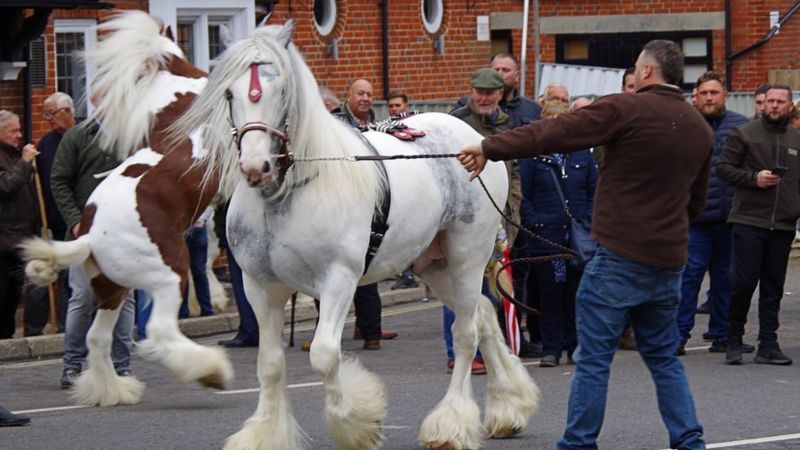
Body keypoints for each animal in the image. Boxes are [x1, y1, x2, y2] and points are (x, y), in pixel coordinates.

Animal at [22, 10, 233, 406]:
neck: (176, 94)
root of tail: (89, 236)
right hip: (168, 275)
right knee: (159, 330)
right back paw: (211, 371)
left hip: (112, 289)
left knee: (97, 338)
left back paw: (113, 391)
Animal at [172, 20, 540, 450]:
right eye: (229, 92)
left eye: (282, 90)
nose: (254, 167)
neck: (286, 194)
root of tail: (474, 142)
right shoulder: (260, 287)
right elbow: (270, 363)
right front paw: (265, 432)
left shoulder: (338, 279)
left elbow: (324, 354)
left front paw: (358, 423)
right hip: (432, 264)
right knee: (482, 315)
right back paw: (509, 408)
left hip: (468, 255)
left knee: (465, 332)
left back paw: (451, 425)